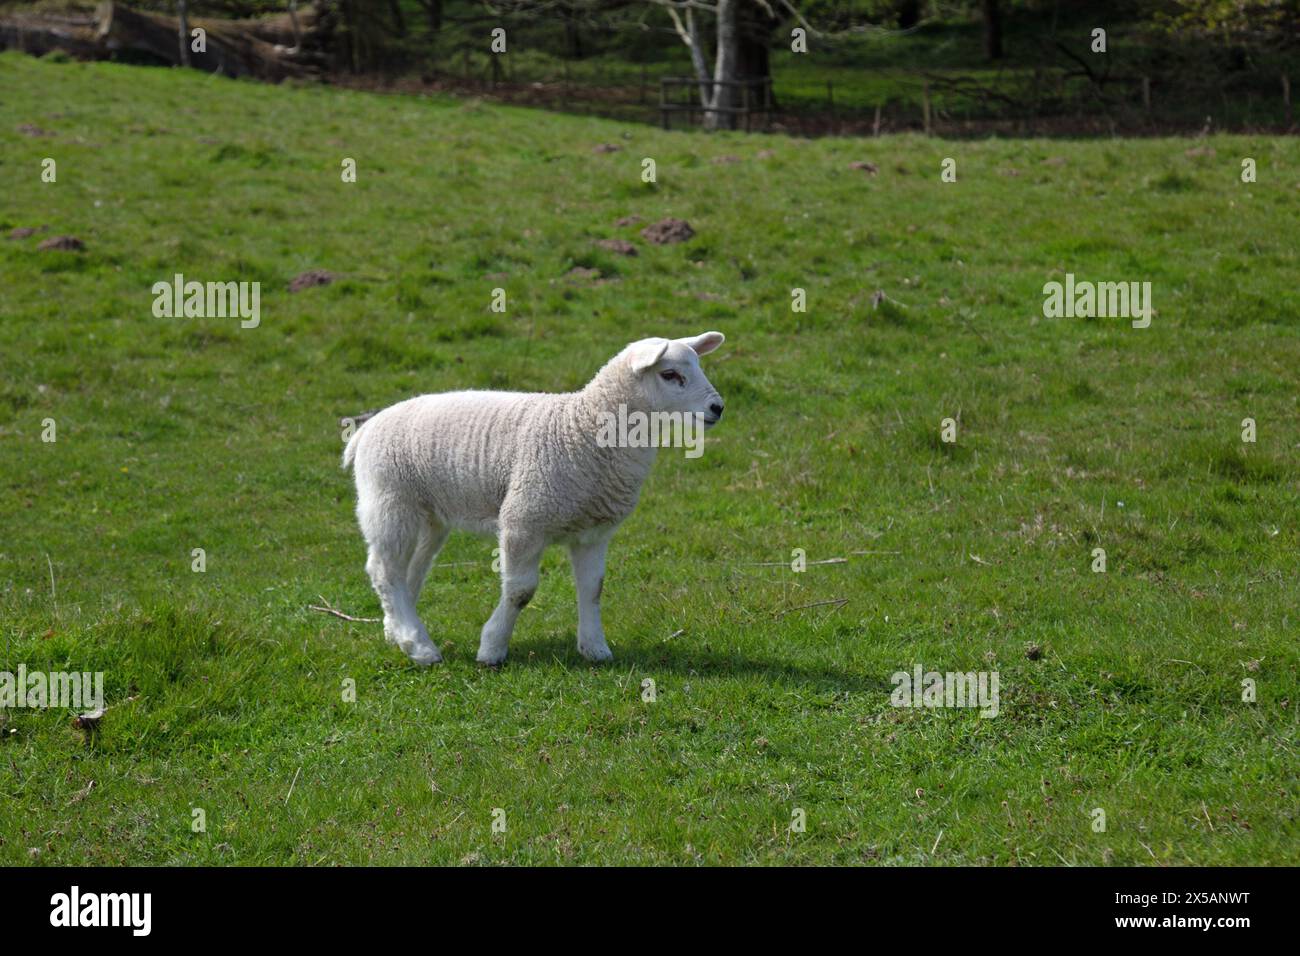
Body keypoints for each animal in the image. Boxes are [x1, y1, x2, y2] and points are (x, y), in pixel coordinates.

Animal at [342, 331, 727, 666]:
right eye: (670, 374)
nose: (718, 407)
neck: (584, 428)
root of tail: (365, 429)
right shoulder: (524, 519)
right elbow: (520, 591)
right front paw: (492, 647)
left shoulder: (594, 531)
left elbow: (593, 588)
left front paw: (595, 648)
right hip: (389, 500)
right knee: (384, 570)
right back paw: (419, 647)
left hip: (429, 514)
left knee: (411, 570)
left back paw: (397, 633)